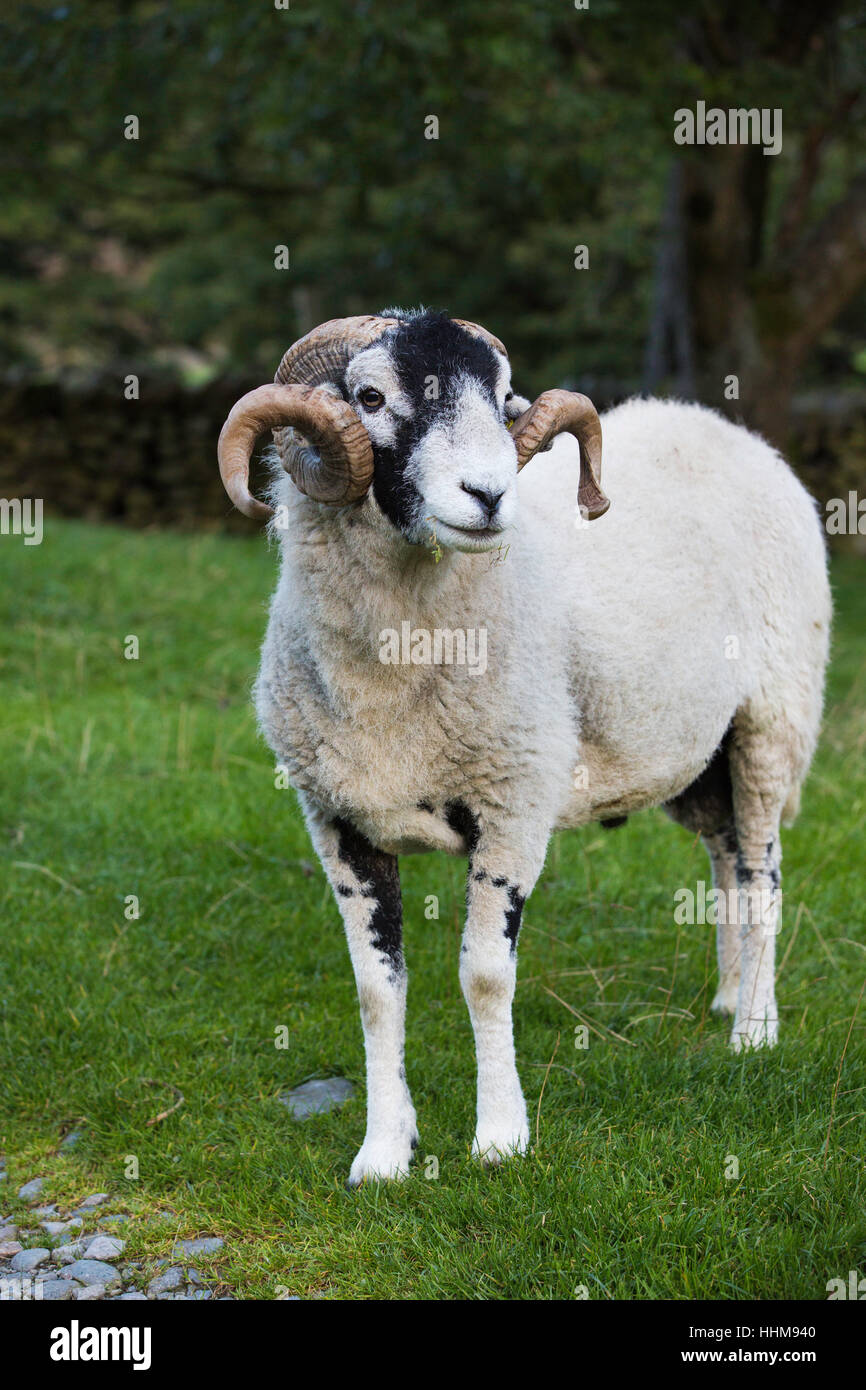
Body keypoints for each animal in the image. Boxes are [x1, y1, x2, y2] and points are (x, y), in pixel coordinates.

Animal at [217, 308, 831, 1185]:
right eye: (369, 396)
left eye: (503, 398)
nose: (488, 495)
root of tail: (722, 426)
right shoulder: (337, 818)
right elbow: (376, 989)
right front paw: (384, 1151)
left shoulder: (512, 800)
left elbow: (483, 975)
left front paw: (501, 1137)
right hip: (696, 753)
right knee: (726, 859)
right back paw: (725, 996)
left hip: (773, 719)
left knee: (764, 873)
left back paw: (756, 1026)